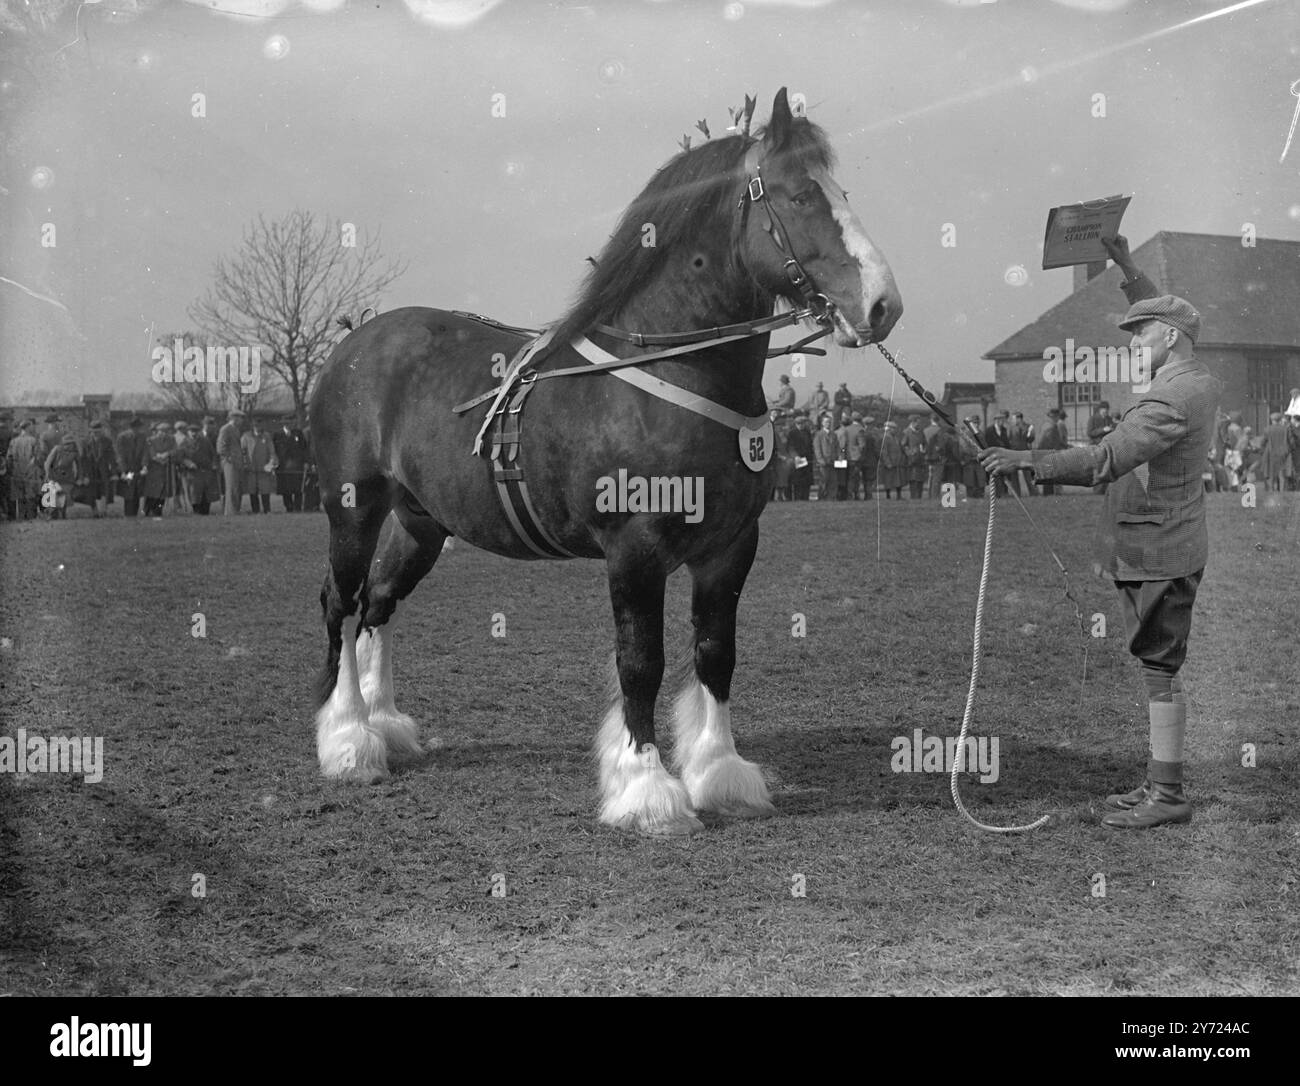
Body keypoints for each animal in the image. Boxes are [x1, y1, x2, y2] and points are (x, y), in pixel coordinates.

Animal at [309, 88, 901, 834]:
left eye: (840, 191)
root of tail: (356, 342)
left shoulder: (731, 548)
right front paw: (646, 789)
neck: (668, 371)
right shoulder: (634, 549)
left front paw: (719, 772)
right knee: (343, 602)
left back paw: (384, 726)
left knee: (379, 604)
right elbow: (641, 662)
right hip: (353, 508)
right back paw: (348, 738)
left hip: (421, 523)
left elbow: (716, 653)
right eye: (800, 195)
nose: (882, 304)